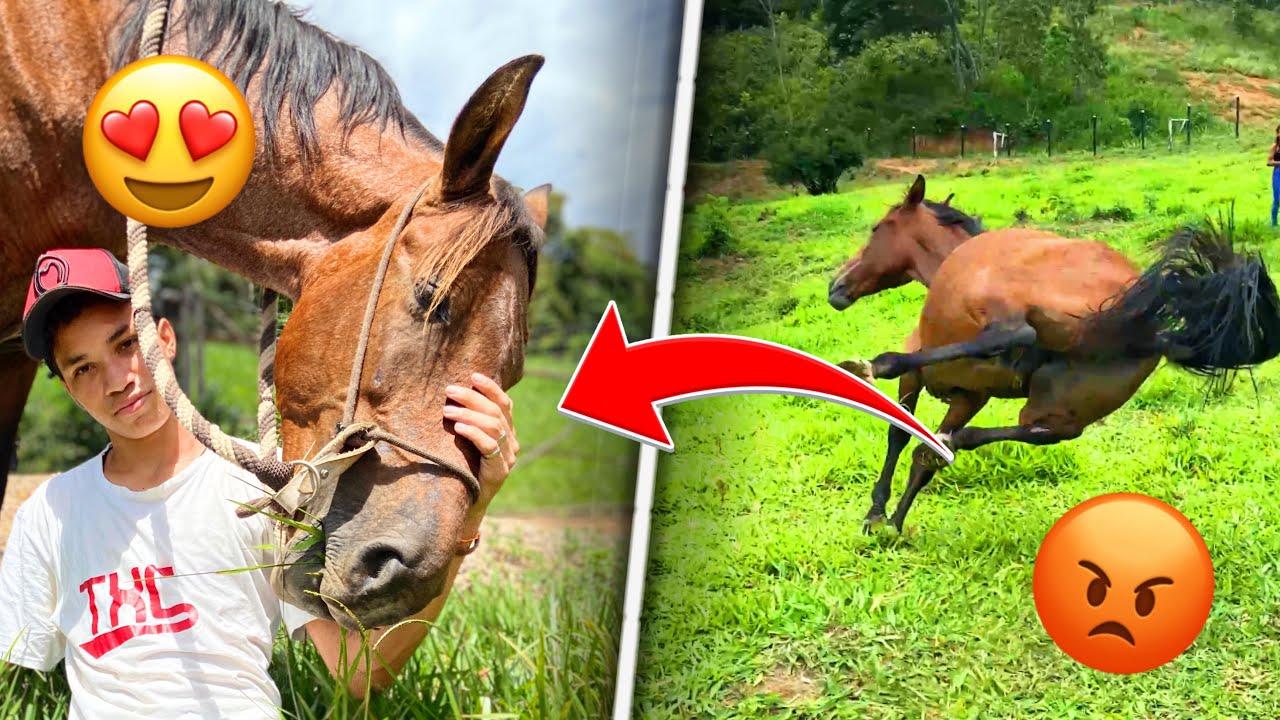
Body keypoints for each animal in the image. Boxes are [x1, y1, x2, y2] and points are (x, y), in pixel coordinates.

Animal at [828, 175, 1280, 533]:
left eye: (877, 228)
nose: (836, 287)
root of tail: (1147, 321)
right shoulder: (969, 398)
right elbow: (922, 453)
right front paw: (893, 522)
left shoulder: (926, 380)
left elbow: (899, 432)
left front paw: (877, 514)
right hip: (1062, 401)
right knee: (1045, 430)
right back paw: (960, 437)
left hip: (1011, 310)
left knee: (1012, 334)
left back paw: (876, 364)